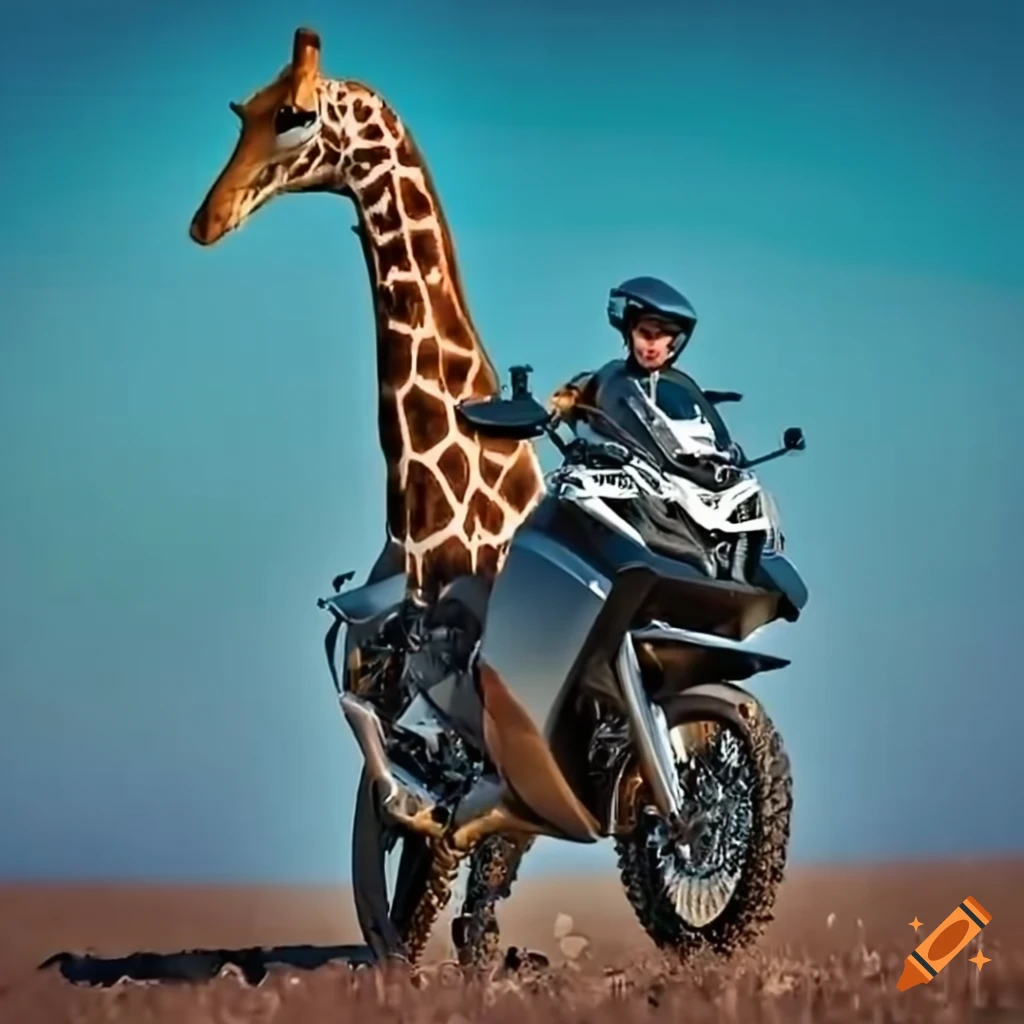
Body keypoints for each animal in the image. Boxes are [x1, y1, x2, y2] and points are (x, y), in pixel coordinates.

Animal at [189, 26, 541, 964]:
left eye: (294, 113)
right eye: (239, 110)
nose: (207, 221)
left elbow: (466, 864)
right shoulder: (393, 673)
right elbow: (419, 858)